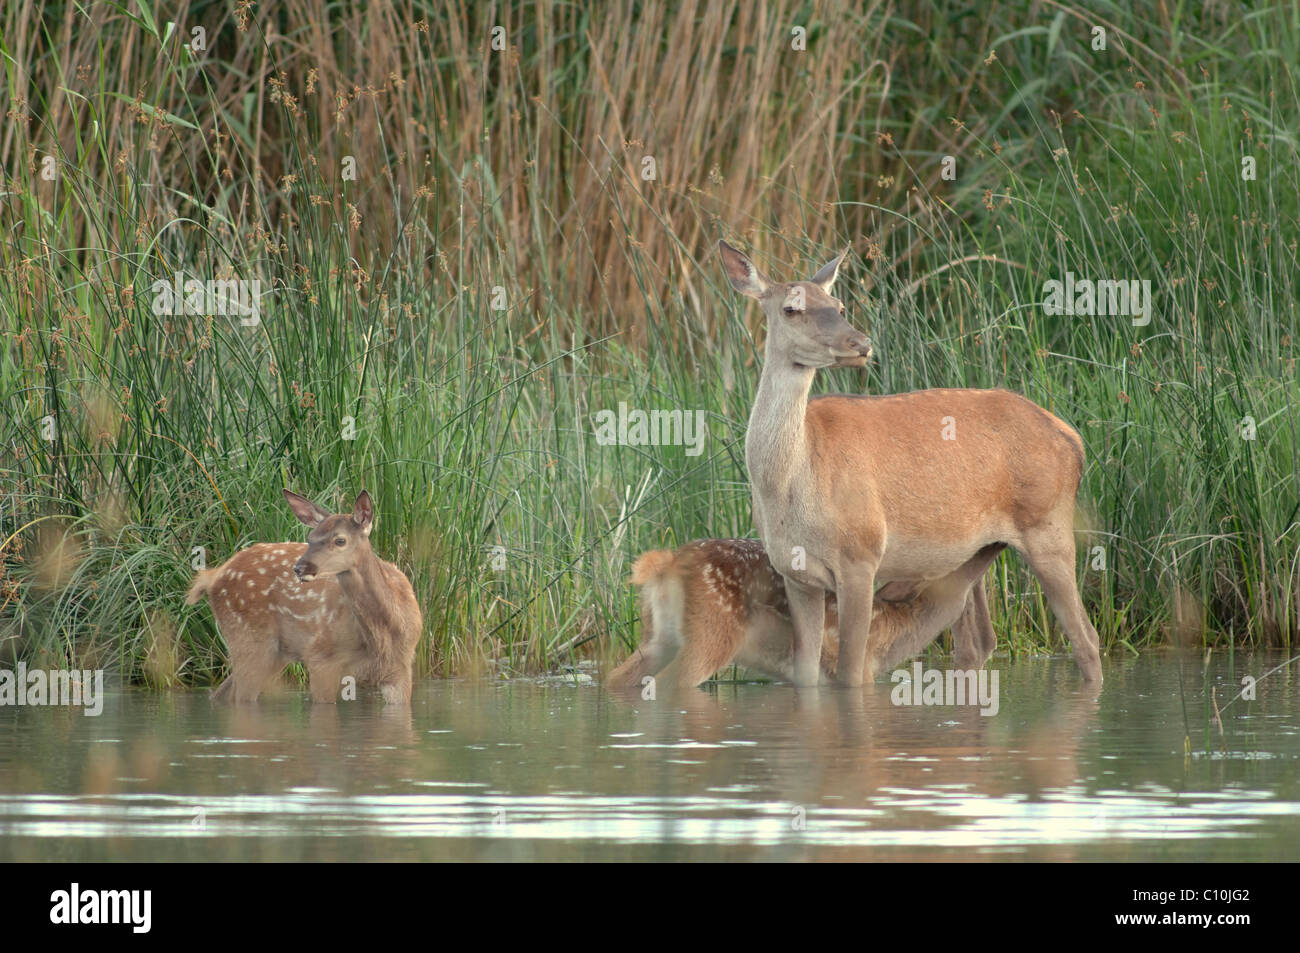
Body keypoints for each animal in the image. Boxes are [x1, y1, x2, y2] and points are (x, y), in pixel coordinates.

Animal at [185, 489, 422, 705]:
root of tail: (213, 576)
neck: (383, 635)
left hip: (274, 653)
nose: (299, 568)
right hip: (248, 638)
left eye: (340, 540)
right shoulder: (321, 658)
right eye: (310, 539)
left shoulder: (401, 670)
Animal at [607, 537, 1004, 694]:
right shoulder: (857, 668)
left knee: (617, 678)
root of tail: (667, 564)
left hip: (657, 636)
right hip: (712, 634)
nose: (993, 543)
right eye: (957, 563)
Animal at [718, 239, 1103, 688]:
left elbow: (850, 673)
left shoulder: (861, 556)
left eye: (839, 304)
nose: (860, 343)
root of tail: (1074, 440)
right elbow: (806, 675)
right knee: (979, 641)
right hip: (975, 551)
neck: (788, 487)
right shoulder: (795, 575)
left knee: (1086, 638)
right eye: (790, 308)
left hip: (1048, 526)